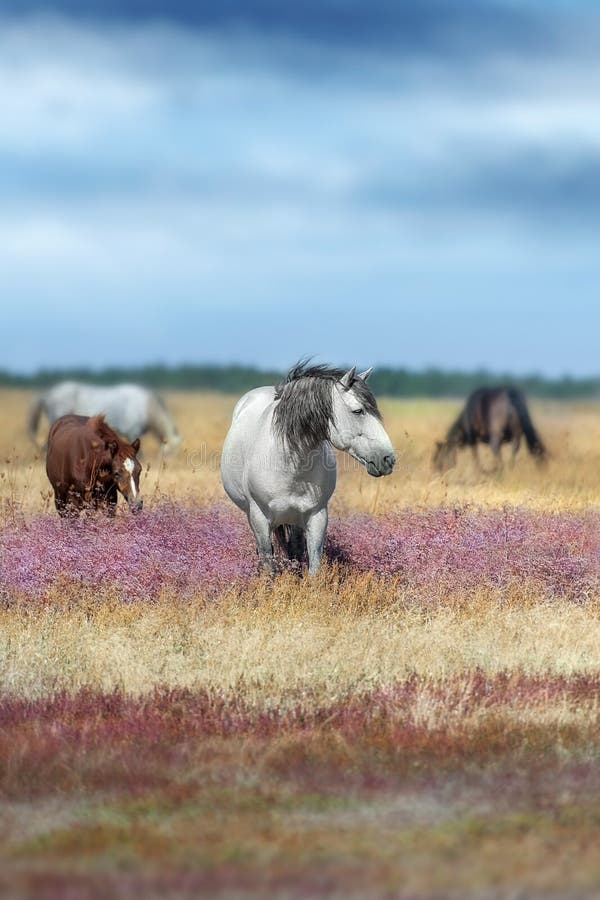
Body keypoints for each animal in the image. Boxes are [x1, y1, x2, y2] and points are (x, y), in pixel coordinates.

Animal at [220, 362, 395, 575]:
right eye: (358, 411)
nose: (388, 459)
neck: (289, 463)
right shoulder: (259, 518)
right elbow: (268, 561)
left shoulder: (317, 516)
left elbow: (312, 563)